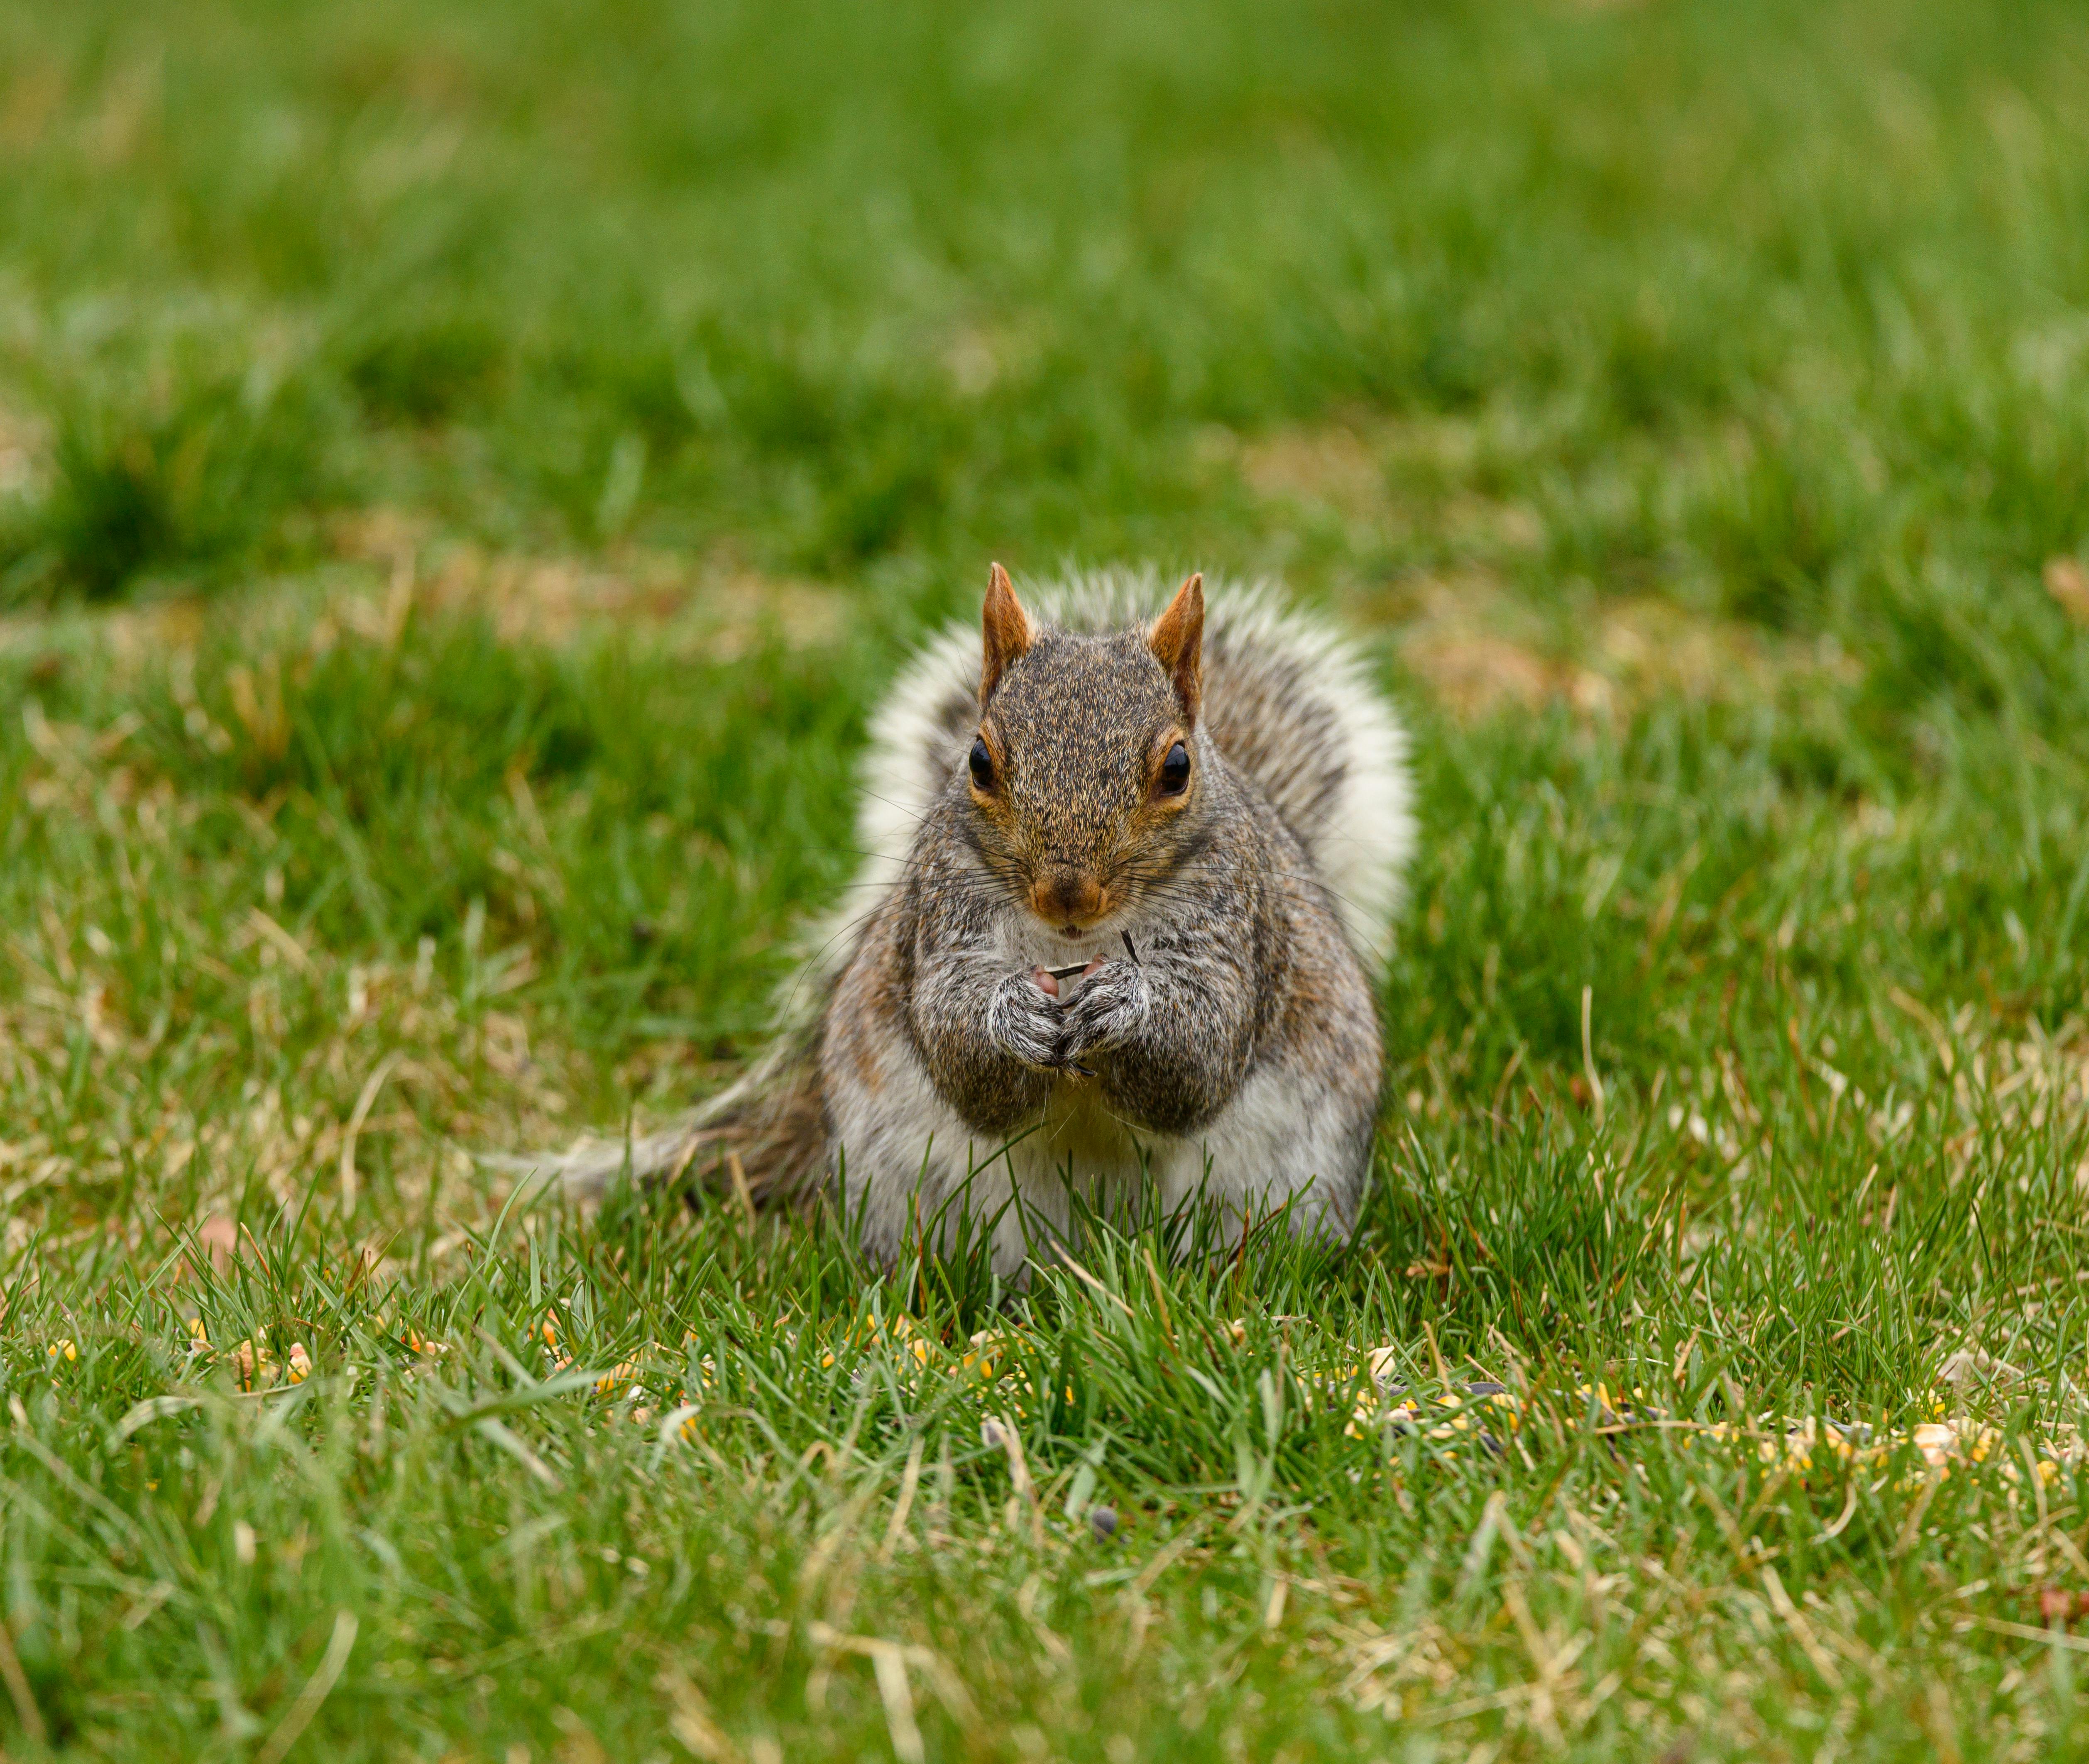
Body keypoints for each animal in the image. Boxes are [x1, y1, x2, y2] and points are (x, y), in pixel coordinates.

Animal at [521, 565, 1415, 1276]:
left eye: (1177, 766)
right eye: (980, 760)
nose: (1066, 894)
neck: (1076, 946)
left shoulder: (1237, 927)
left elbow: (1198, 1058)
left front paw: (1126, 1004)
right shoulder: (938, 920)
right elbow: (958, 1052)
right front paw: (1007, 1015)